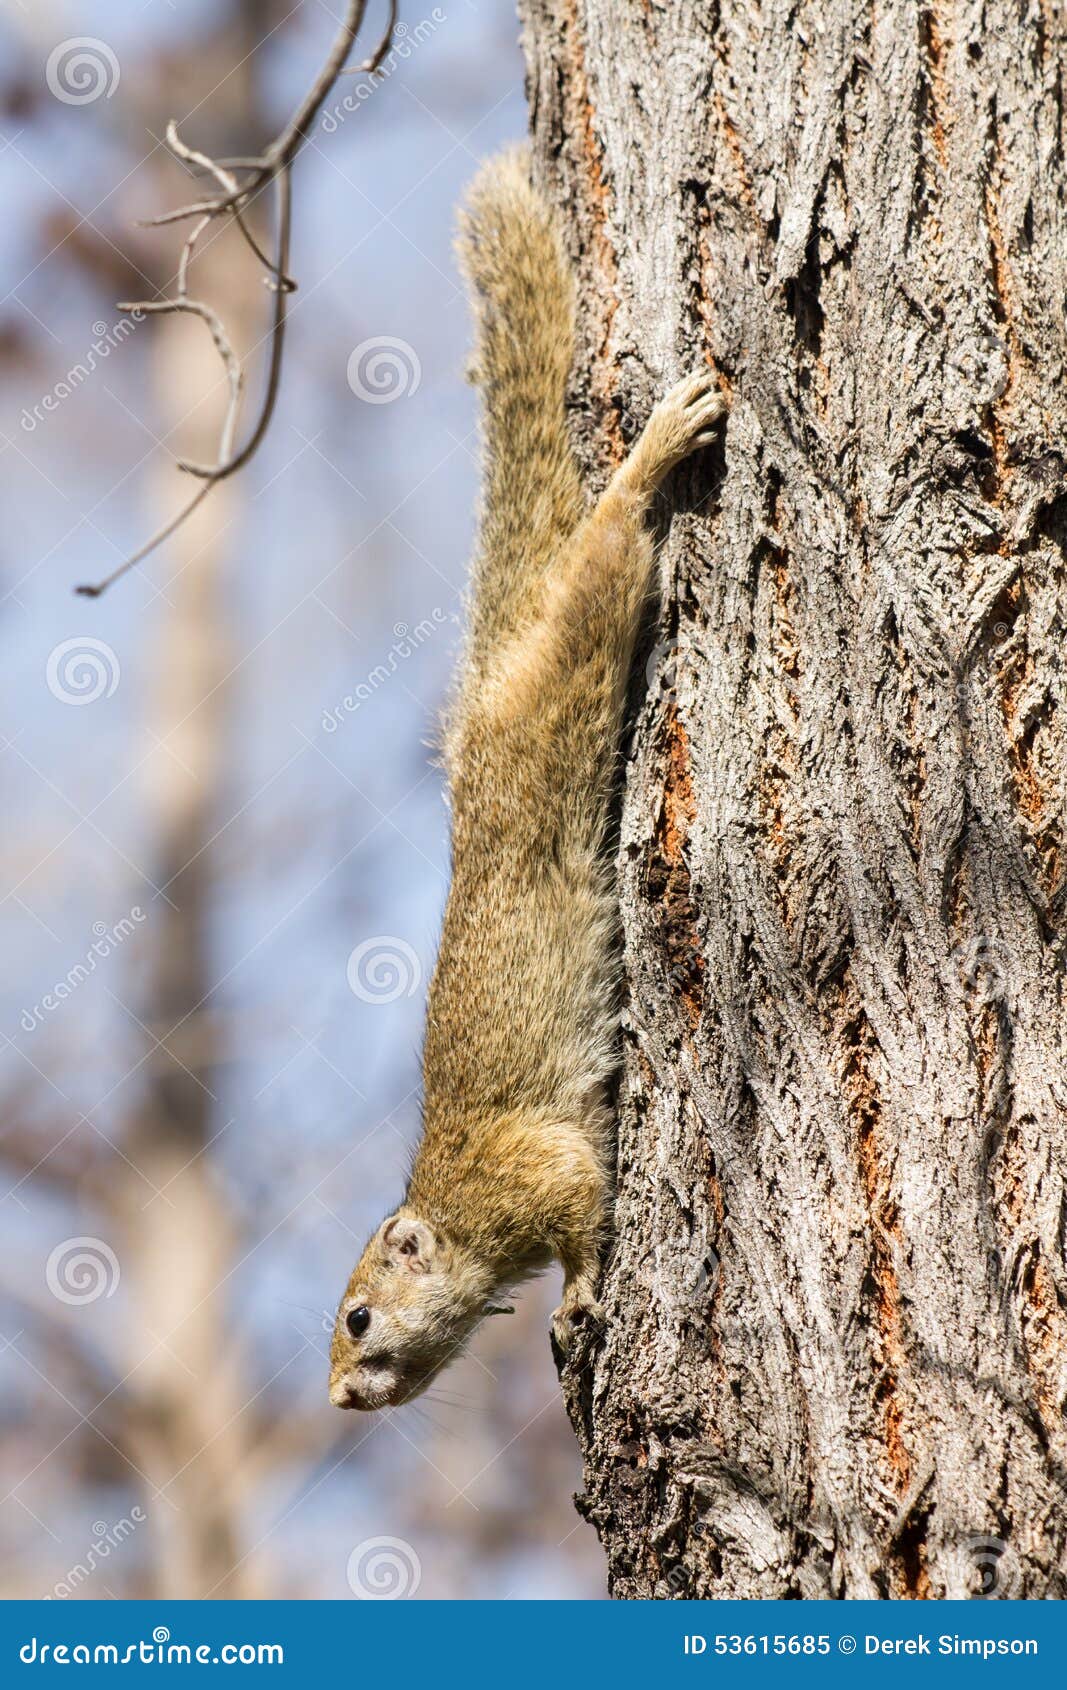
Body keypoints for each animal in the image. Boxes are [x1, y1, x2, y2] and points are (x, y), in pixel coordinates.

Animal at [329, 148, 724, 1412]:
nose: (343, 1398)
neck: (454, 1212)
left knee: (606, 550)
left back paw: (658, 447)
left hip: (567, 672)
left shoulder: (532, 1167)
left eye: (358, 1316)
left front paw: (578, 1300)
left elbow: (584, 1206)